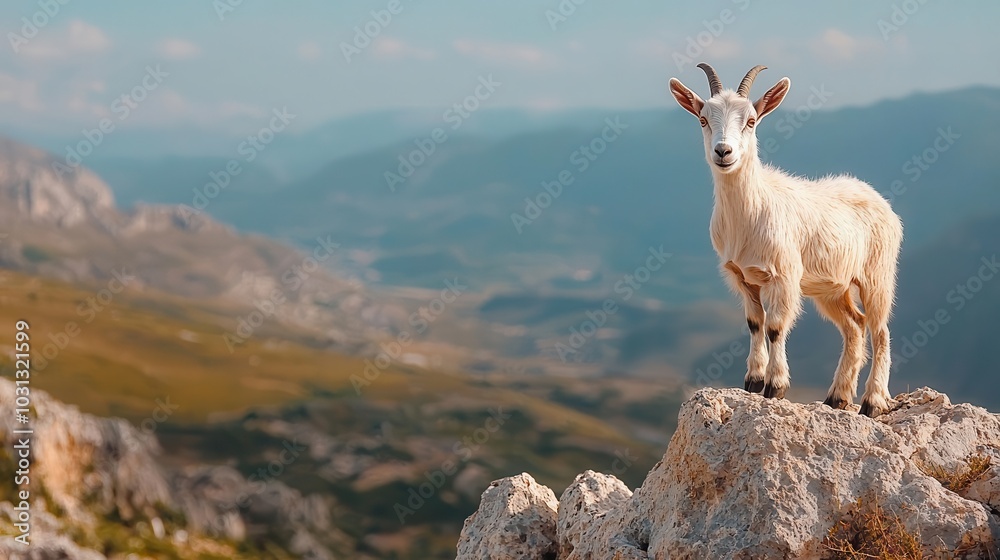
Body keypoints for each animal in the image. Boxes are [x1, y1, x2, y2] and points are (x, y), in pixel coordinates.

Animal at [668, 63, 903, 417]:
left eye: (751, 120)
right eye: (703, 119)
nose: (723, 152)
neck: (750, 213)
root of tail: (880, 201)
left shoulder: (785, 274)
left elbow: (775, 326)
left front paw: (775, 386)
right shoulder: (741, 276)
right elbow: (755, 322)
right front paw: (753, 380)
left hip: (877, 274)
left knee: (881, 330)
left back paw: (873, 401)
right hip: (832, 288)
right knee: (855, 327)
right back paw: (837, 397)